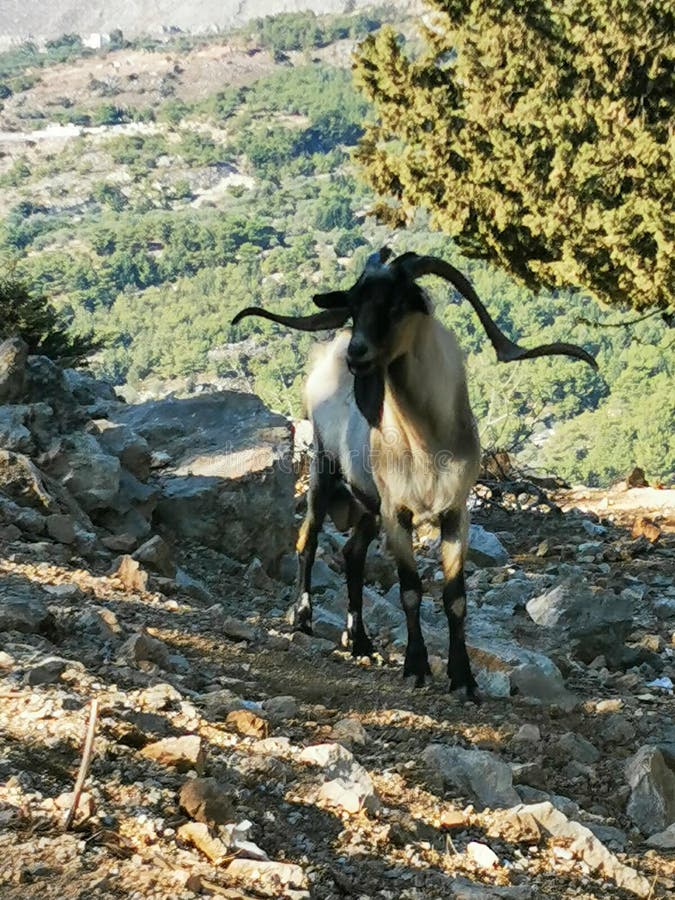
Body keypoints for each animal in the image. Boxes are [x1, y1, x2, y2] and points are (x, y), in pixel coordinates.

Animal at [233, 249, 596, 701]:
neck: (427, 446)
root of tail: (327, 357)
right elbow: (409, 590)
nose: (358, 354)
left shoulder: (456, 513)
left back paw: (361, 641)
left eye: (396, 303)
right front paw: (417, 667)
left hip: (366, 503)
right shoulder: (398, 512)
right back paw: (302, 617)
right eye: (354, 304)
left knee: (352, 554)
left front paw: (464, 678)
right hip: (324, 468)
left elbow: (455, 597)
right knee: (308, 539)